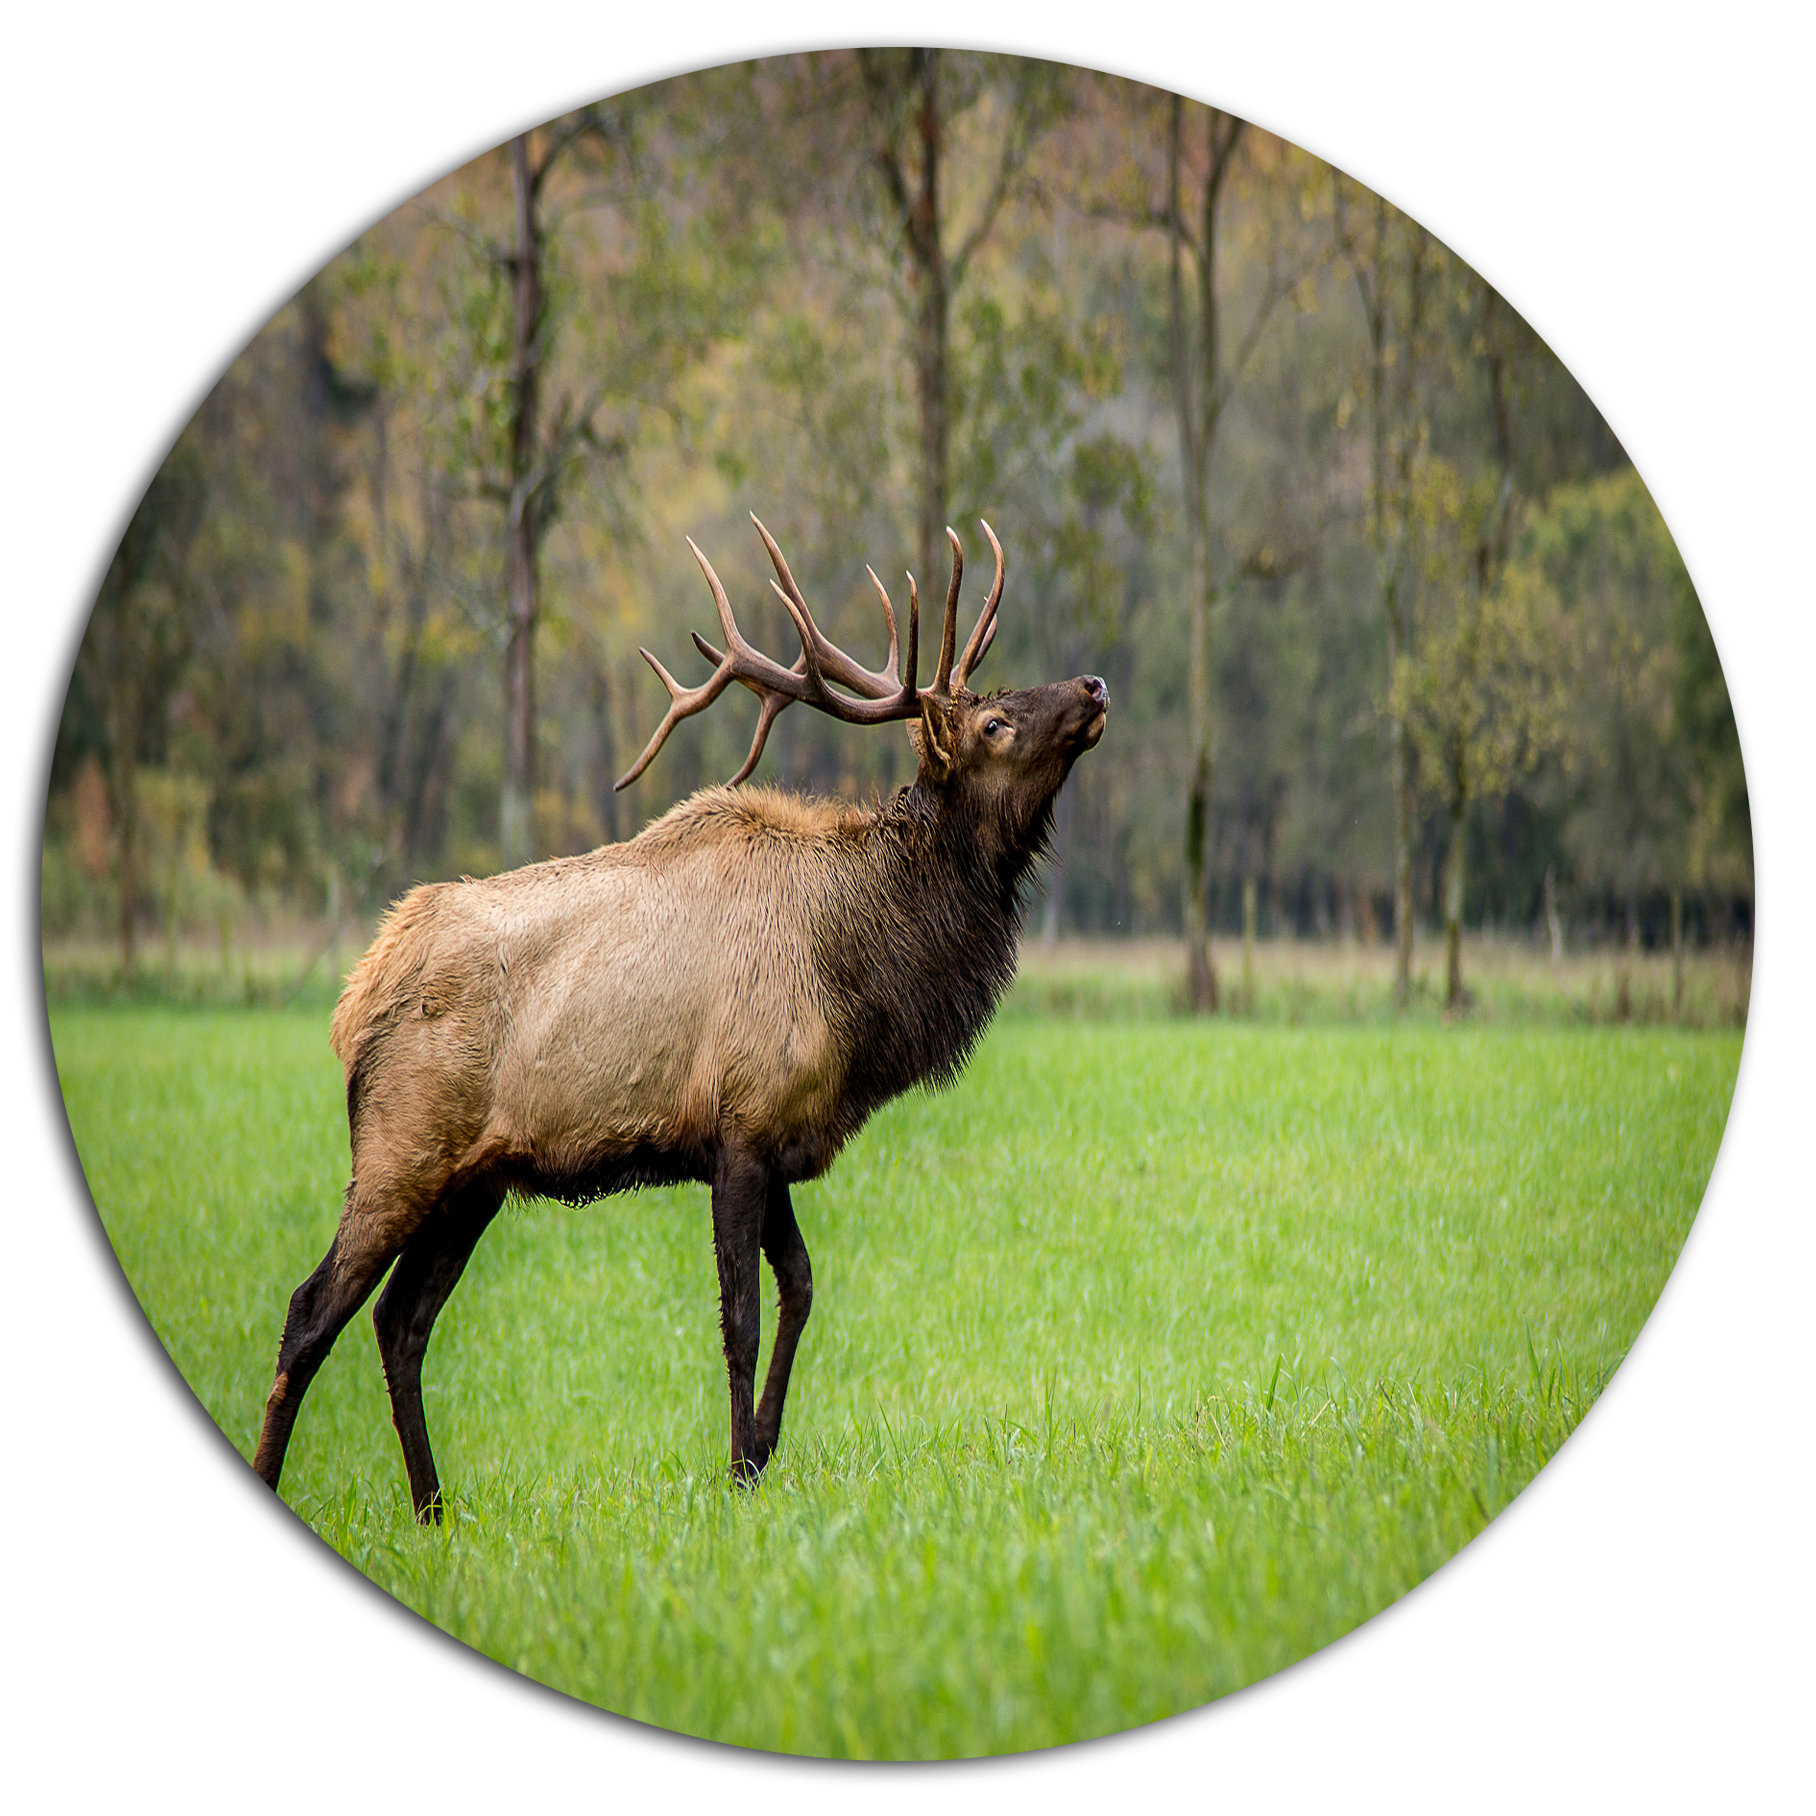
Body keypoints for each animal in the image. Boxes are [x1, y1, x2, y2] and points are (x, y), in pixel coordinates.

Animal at [251, 515, 1108, 1519]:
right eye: (993, 722)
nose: (1093, 685)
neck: (858, 979)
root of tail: (356, 999)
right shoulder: (737, 1132)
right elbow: (741, 1316)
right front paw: (736, 1474)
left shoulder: (777, 1136)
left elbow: (802, 1288)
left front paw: (763, 1453)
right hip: (400, 1147)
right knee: (312, 1311)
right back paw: (294, 1479)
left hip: (474, 1180)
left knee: (400, 1320)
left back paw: (433, 1511)